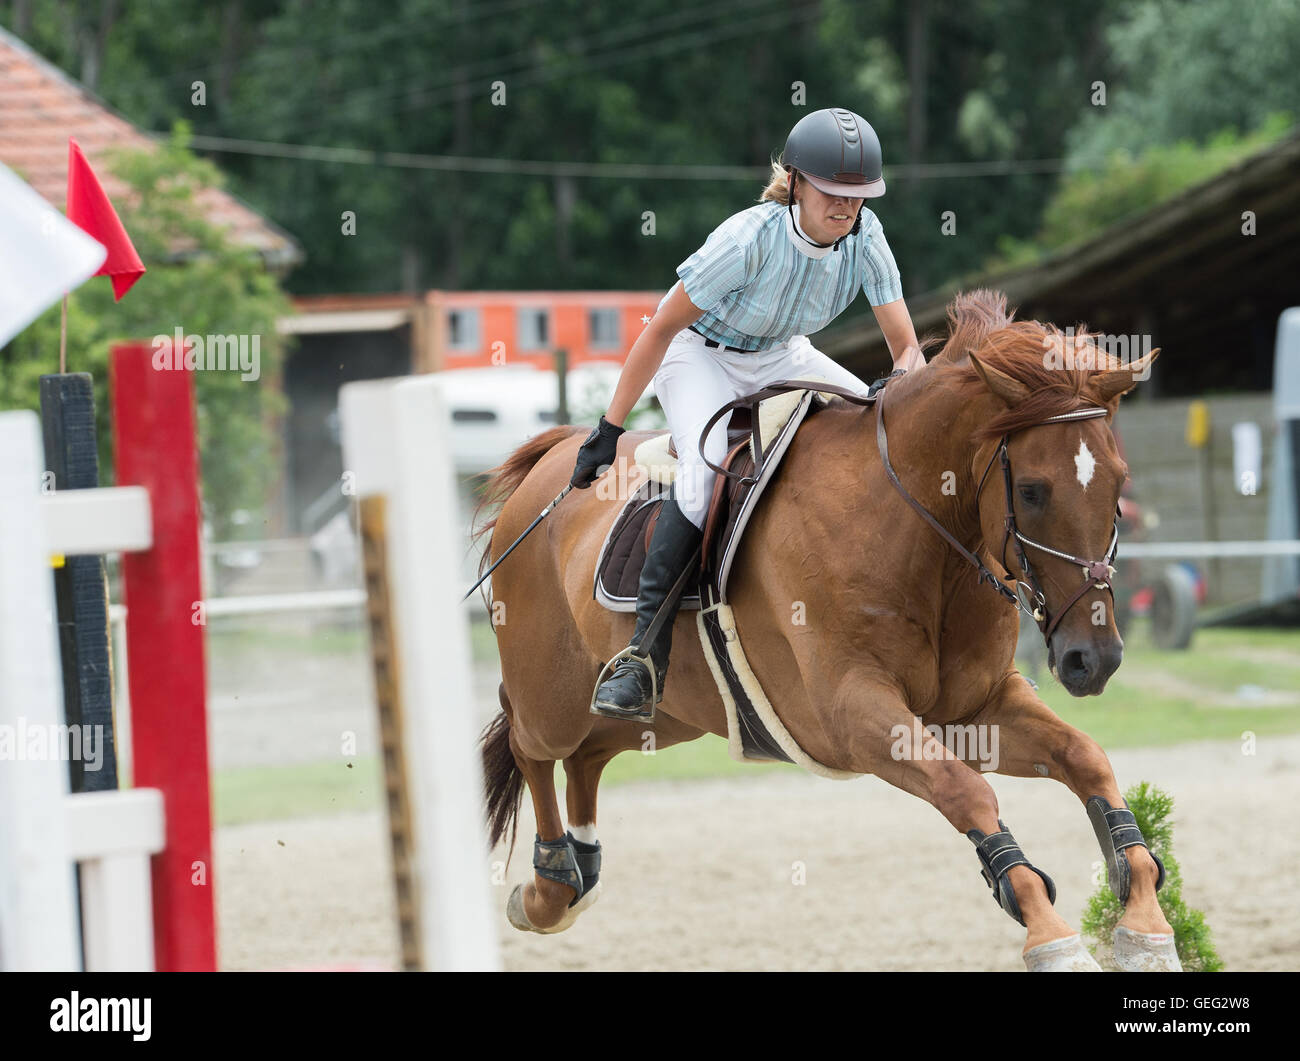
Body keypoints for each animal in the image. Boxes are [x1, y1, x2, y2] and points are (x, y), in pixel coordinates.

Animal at [475, 290, 1175, 971]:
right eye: (1031, 491)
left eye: (1119, 487)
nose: (1095, 658)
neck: (920, 533)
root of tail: (552, 463)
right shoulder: (854, 714)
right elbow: (967, 792)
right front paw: (1052, 936)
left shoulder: (972, 709)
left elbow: (1084, 757)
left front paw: (1145, 925)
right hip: (553, 697)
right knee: (532, 745)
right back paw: (550, 887)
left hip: (672, 714)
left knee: (589, 754)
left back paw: (580, 869)